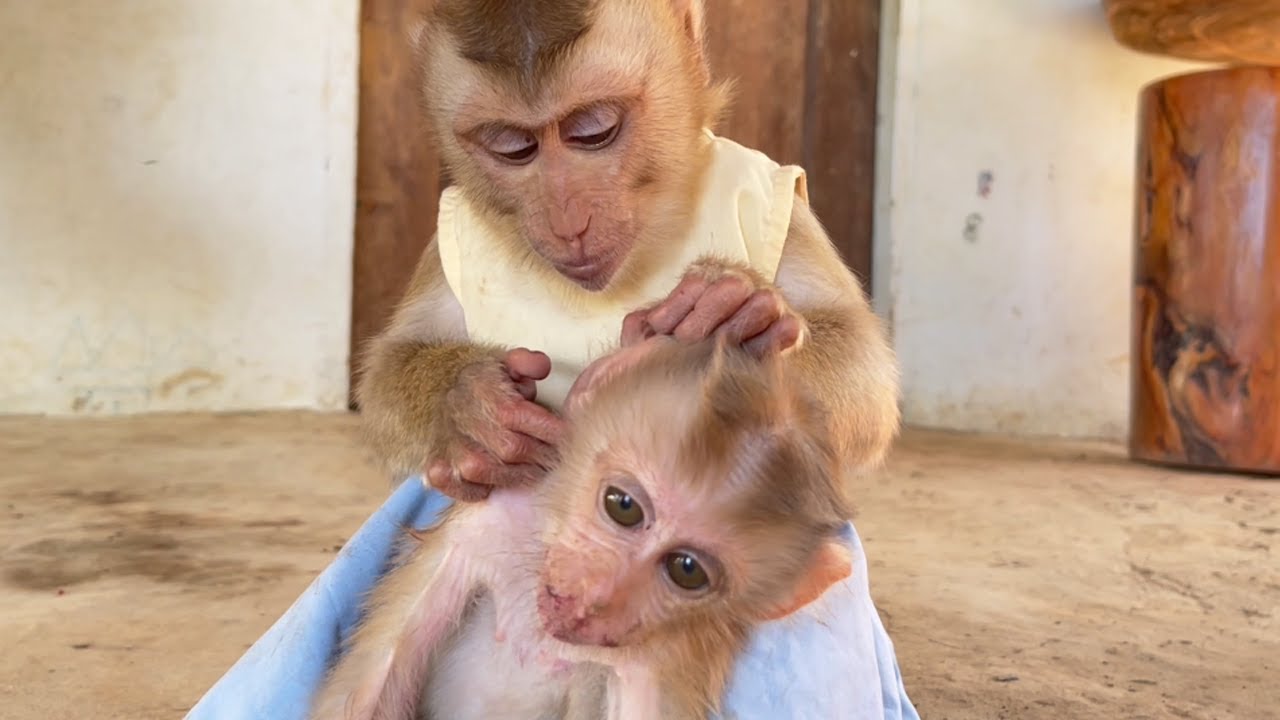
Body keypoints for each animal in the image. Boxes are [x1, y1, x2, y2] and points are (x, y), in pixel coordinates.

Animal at [355, 0, 901, 504]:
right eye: (514, 148)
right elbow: (389, 369)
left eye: (593, 131)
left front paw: (737, 313)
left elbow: (862, 367)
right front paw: (469, 409)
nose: (568, 222)